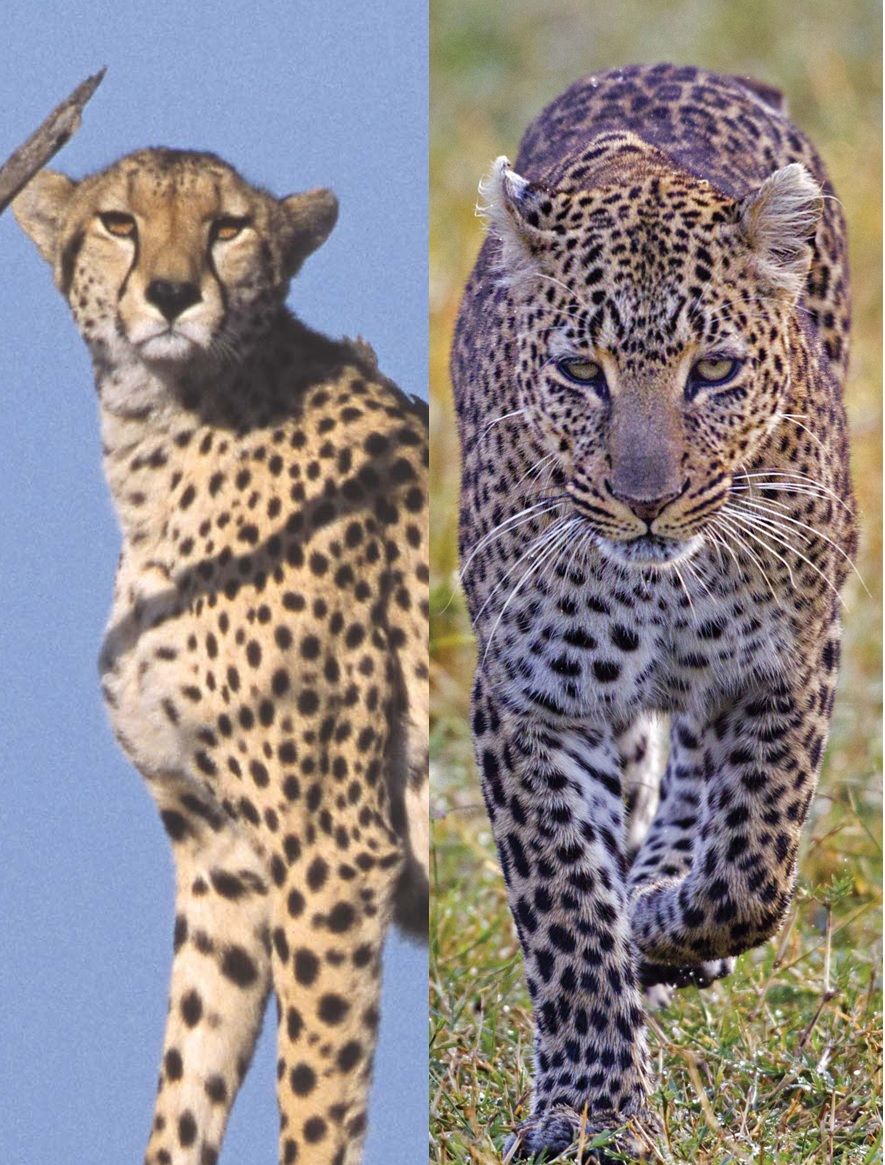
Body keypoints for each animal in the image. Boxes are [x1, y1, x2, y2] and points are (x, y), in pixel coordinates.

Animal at [14, 146, 428, 1165]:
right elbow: (188, 1079)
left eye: (228, 227)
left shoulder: (333, 850)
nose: (171, 295)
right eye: (119, 221)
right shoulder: (224, 856)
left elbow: (315, 1101)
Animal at [450, 63, 856, 1160]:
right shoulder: (534, 699)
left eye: (711, 371)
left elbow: (750, 866)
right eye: (579, 371)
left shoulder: (787, 658)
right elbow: (565, 911)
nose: (646, 498)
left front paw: (666, 926)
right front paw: (587, 1109)